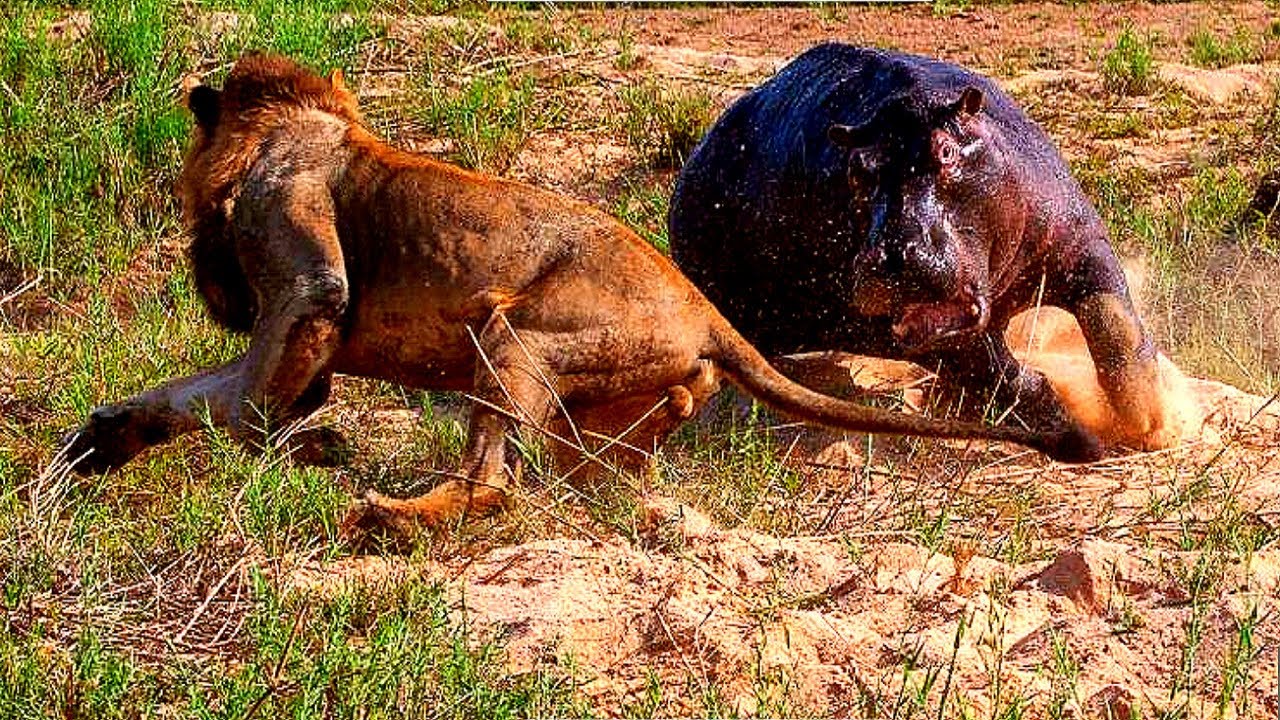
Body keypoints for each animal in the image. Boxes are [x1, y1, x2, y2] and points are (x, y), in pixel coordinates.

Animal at [61, 54, 1100, 531]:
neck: (278, 134)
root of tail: (705, 309)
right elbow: (190, 396)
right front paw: (103, 439)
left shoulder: (306, 281)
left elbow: (250, 401)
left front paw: (311, 448)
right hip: (595, 384)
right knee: (610, 449)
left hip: (510, 335)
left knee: (490, 485)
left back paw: (391, 519)